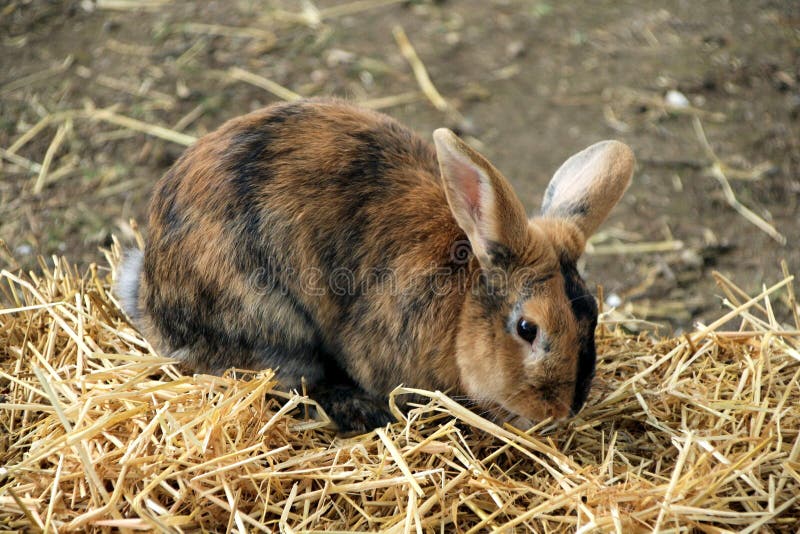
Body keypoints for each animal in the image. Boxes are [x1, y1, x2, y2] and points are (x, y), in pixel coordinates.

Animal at [116, 98, 634, 434]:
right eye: (527, 329)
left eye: (592, 318)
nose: (561, 412)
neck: (463, 300)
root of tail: (149, 291)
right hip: (270, 321)